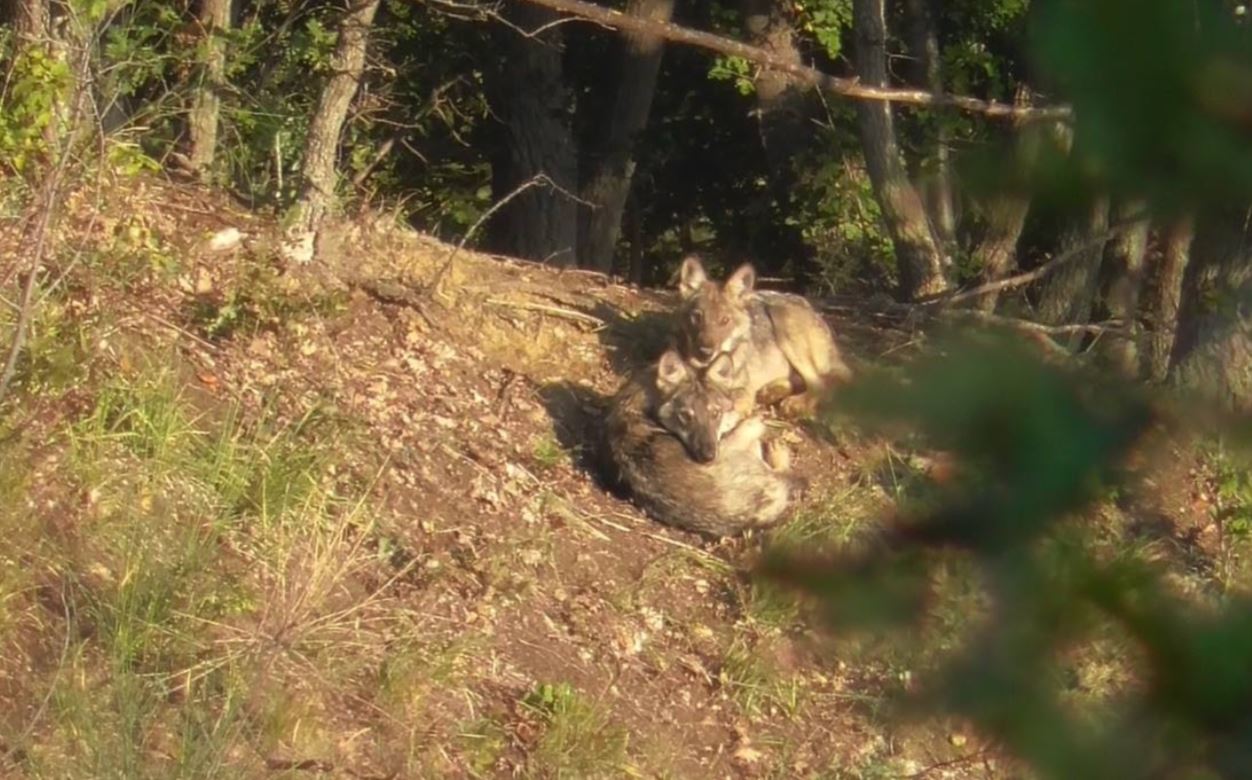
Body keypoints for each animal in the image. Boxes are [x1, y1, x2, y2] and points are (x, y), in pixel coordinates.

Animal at [675, 255, 852, 416]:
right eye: (697, 317)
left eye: (725, 320)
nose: (705, 352)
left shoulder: (743, 394)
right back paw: (771, 392)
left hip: (781, 319)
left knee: (821, 384)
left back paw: (796, 403)